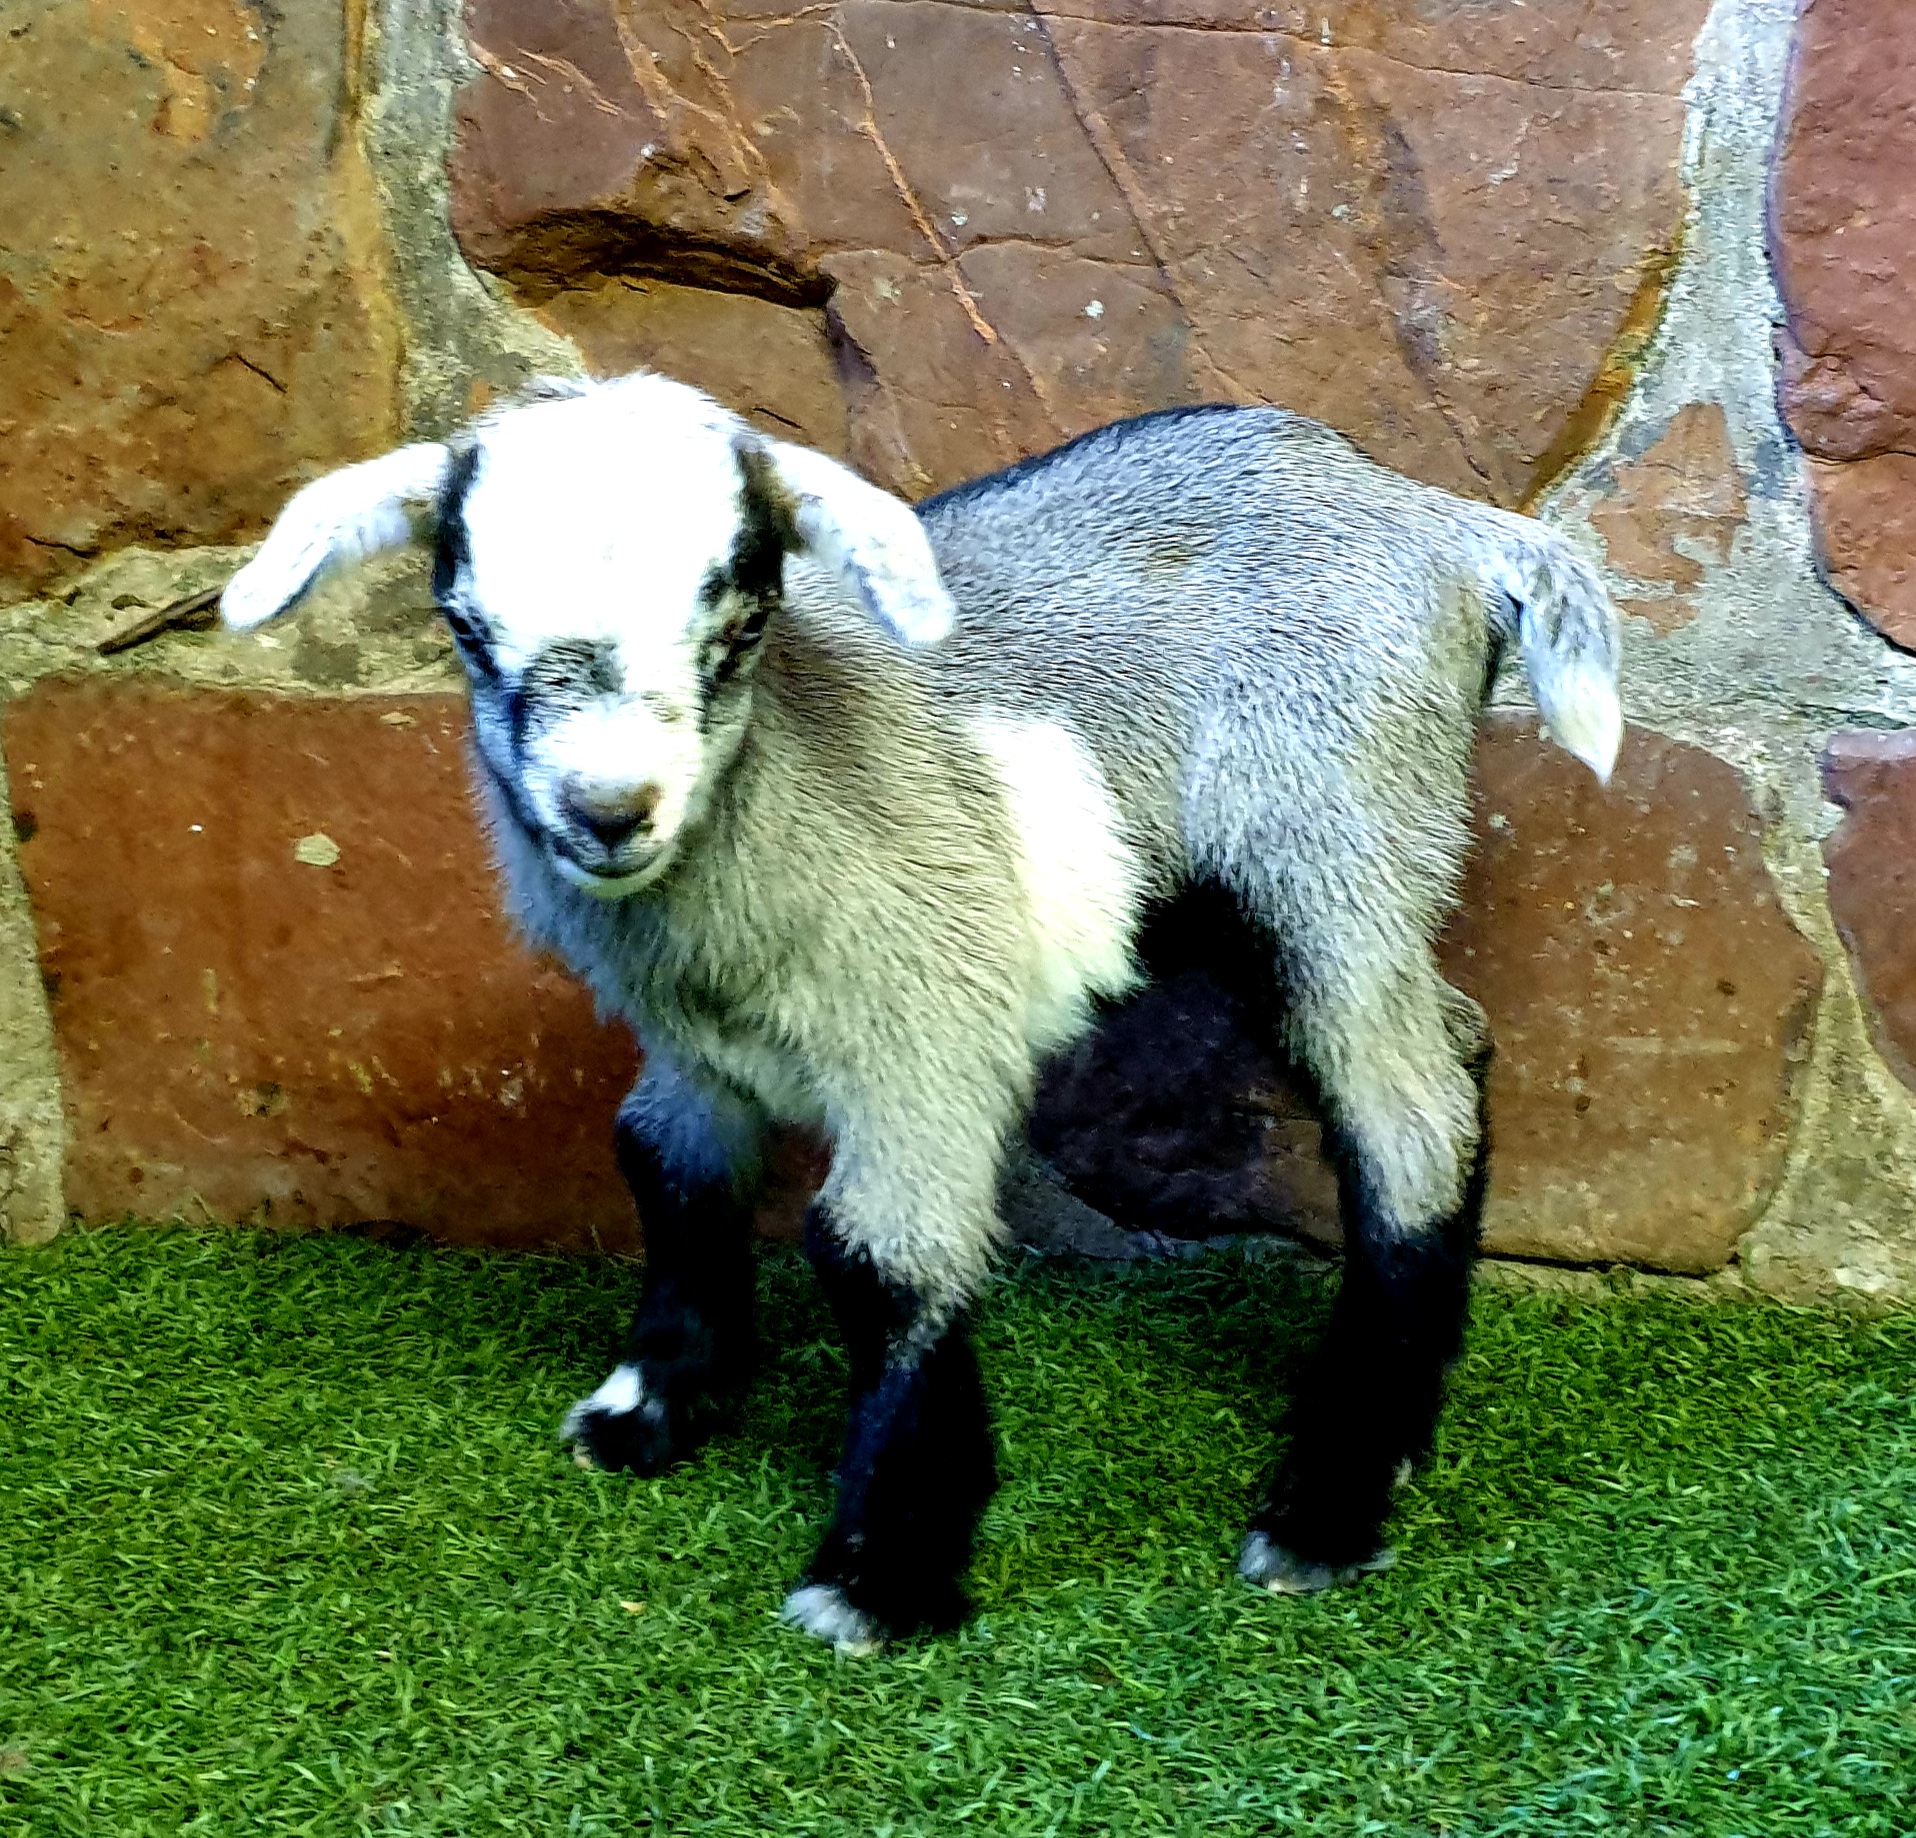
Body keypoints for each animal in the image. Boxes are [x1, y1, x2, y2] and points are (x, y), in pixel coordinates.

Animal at [223, 372, 1621, 1650]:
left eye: (740, 623)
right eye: (465, 628)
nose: (609, 810)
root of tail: (1440, 523)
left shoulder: (928, 1033)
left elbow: (881, 1252)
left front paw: (883, 1570)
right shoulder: (693, 1047)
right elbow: (664, 1162)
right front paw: (654, 1407)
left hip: (1332, 844)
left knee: (1406, 1119)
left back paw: (1326, 1506)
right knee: (1452, 1042)